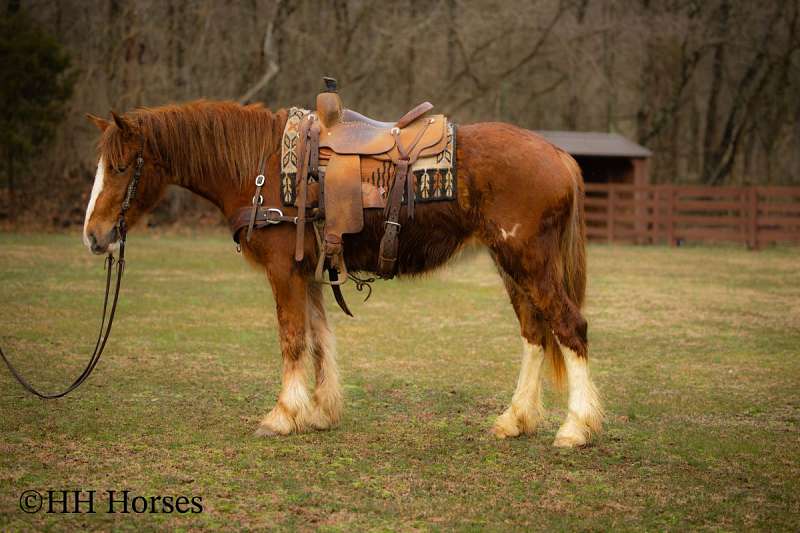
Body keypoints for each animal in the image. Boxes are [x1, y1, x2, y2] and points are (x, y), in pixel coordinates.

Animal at [83, 100, 603, 447]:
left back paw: (575, 427)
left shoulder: (283, 271)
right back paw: (515, 419)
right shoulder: (309, 273)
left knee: (570, 326)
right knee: (535, 333)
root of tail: (558, 154)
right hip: (511, 264)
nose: (94, 236)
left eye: (122, 166)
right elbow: (318, 339)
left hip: (528, 262)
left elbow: (293, 339)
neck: (261, 167)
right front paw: (320, 411)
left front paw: (283, 414)